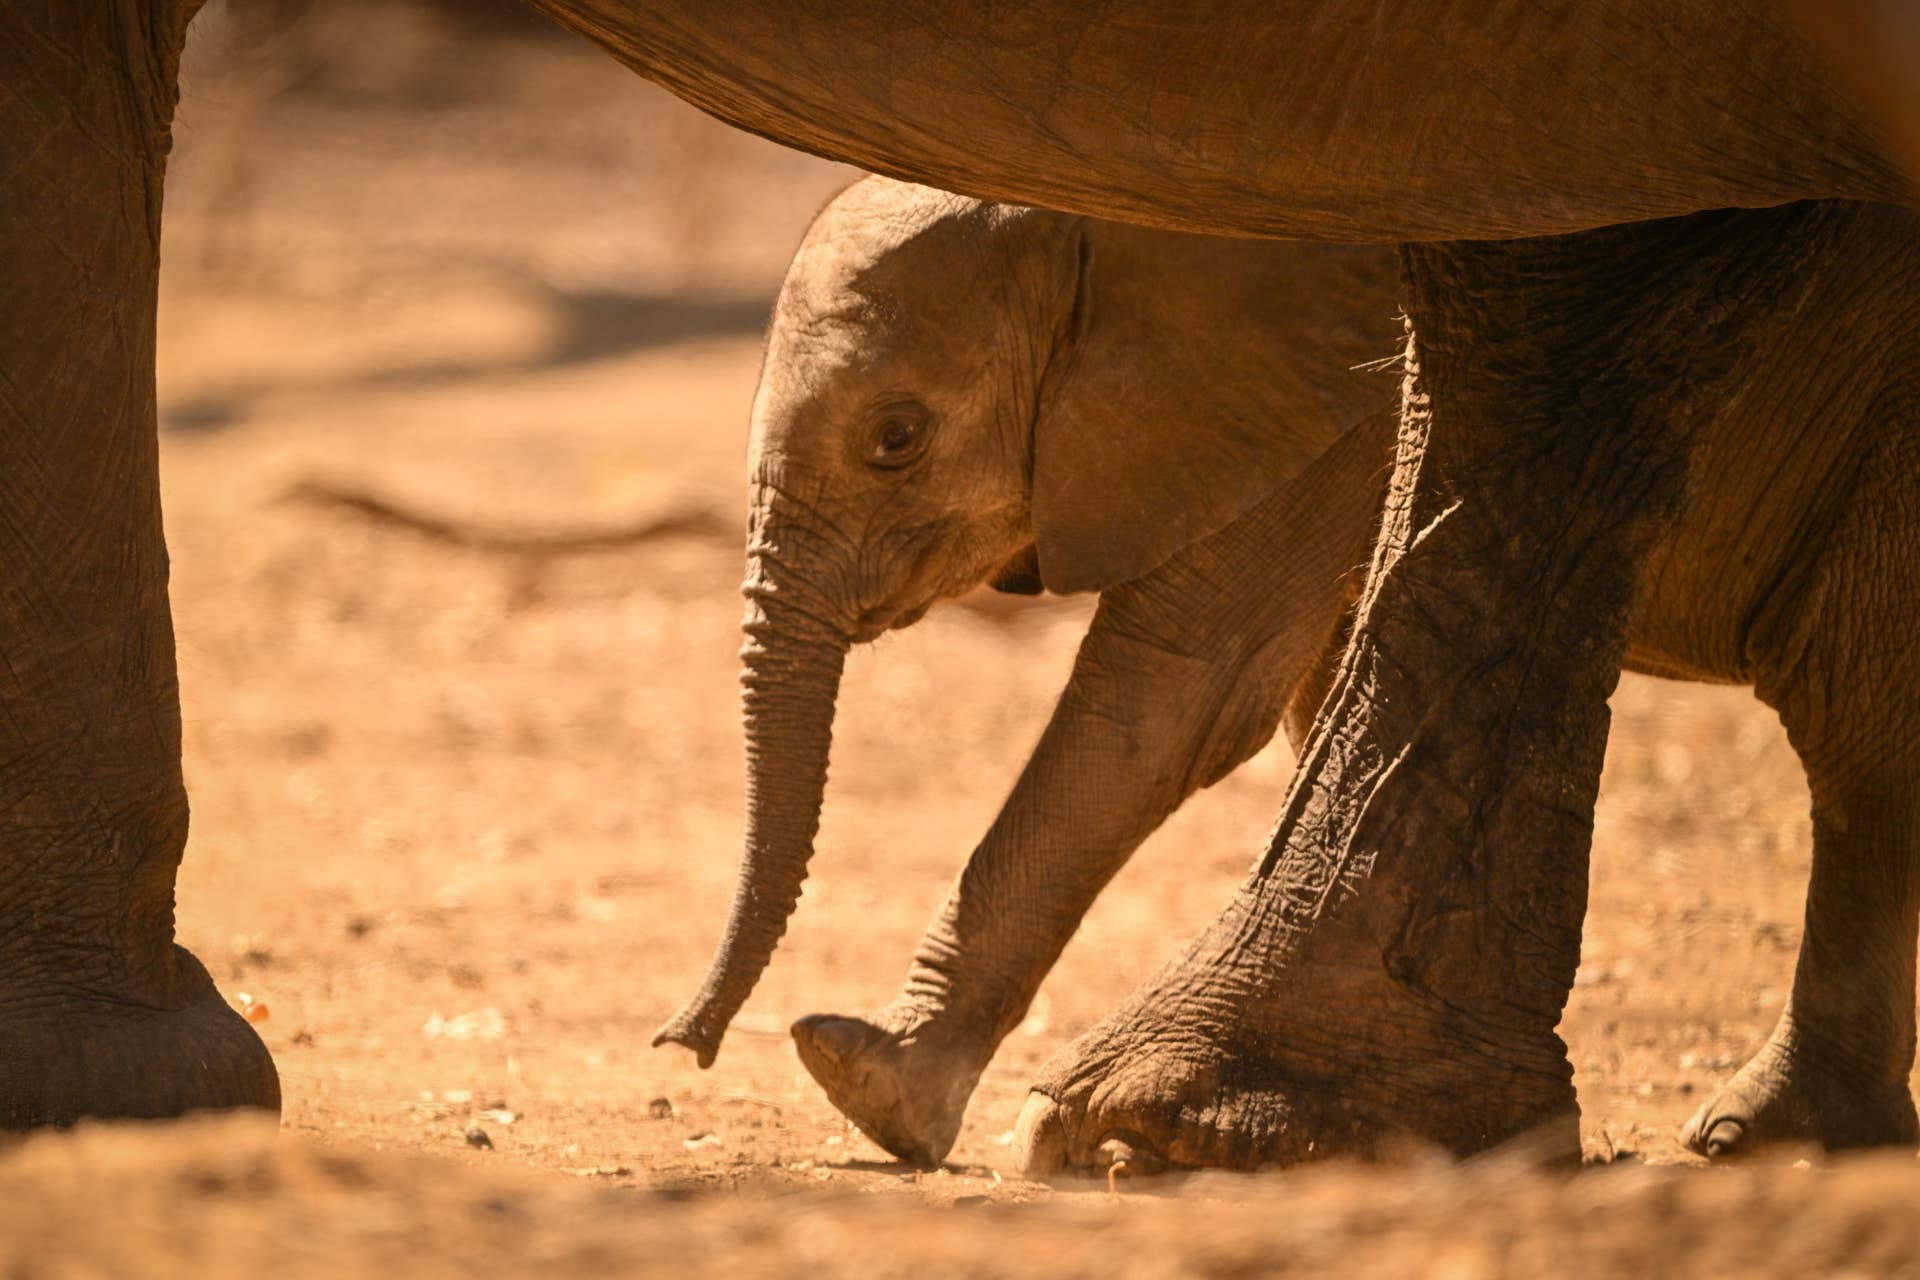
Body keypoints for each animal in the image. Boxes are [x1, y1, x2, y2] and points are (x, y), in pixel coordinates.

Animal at [656, 175, 1920, 1166]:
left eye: (897, 439)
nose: (683, 1044)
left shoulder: (1332, 406)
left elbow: (1175, 692)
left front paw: (873, 1086)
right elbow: (1303, 691)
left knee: (1857, 734)